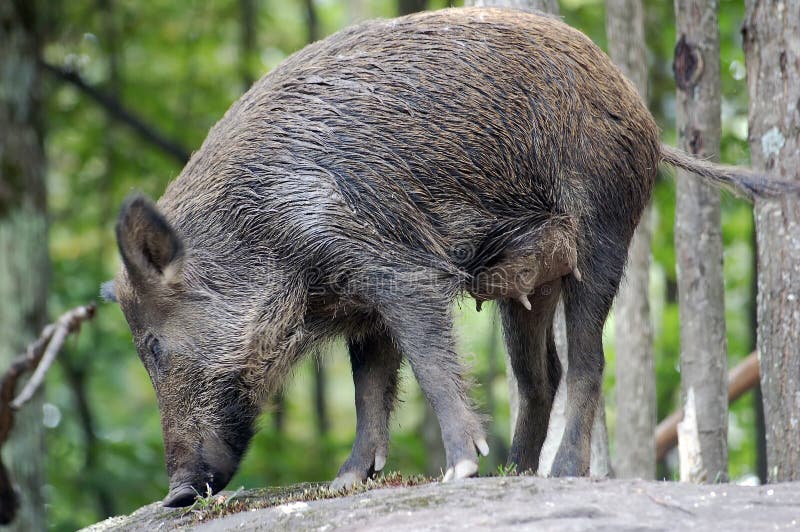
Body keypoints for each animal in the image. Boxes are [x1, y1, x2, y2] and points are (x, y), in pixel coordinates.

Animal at [103, 7, 791, 506]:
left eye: (155, 348)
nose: (177, 494)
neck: (268, 232)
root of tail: (645, 120)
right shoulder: (361, 305)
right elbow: (370, 388)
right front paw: (346, 481)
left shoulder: (393, 266)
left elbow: (431, 361)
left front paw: (459, 471)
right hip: (530, 283)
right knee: (540, 375)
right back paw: (516, 472)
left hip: (601, 229)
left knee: (589, 360)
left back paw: (561, 475)